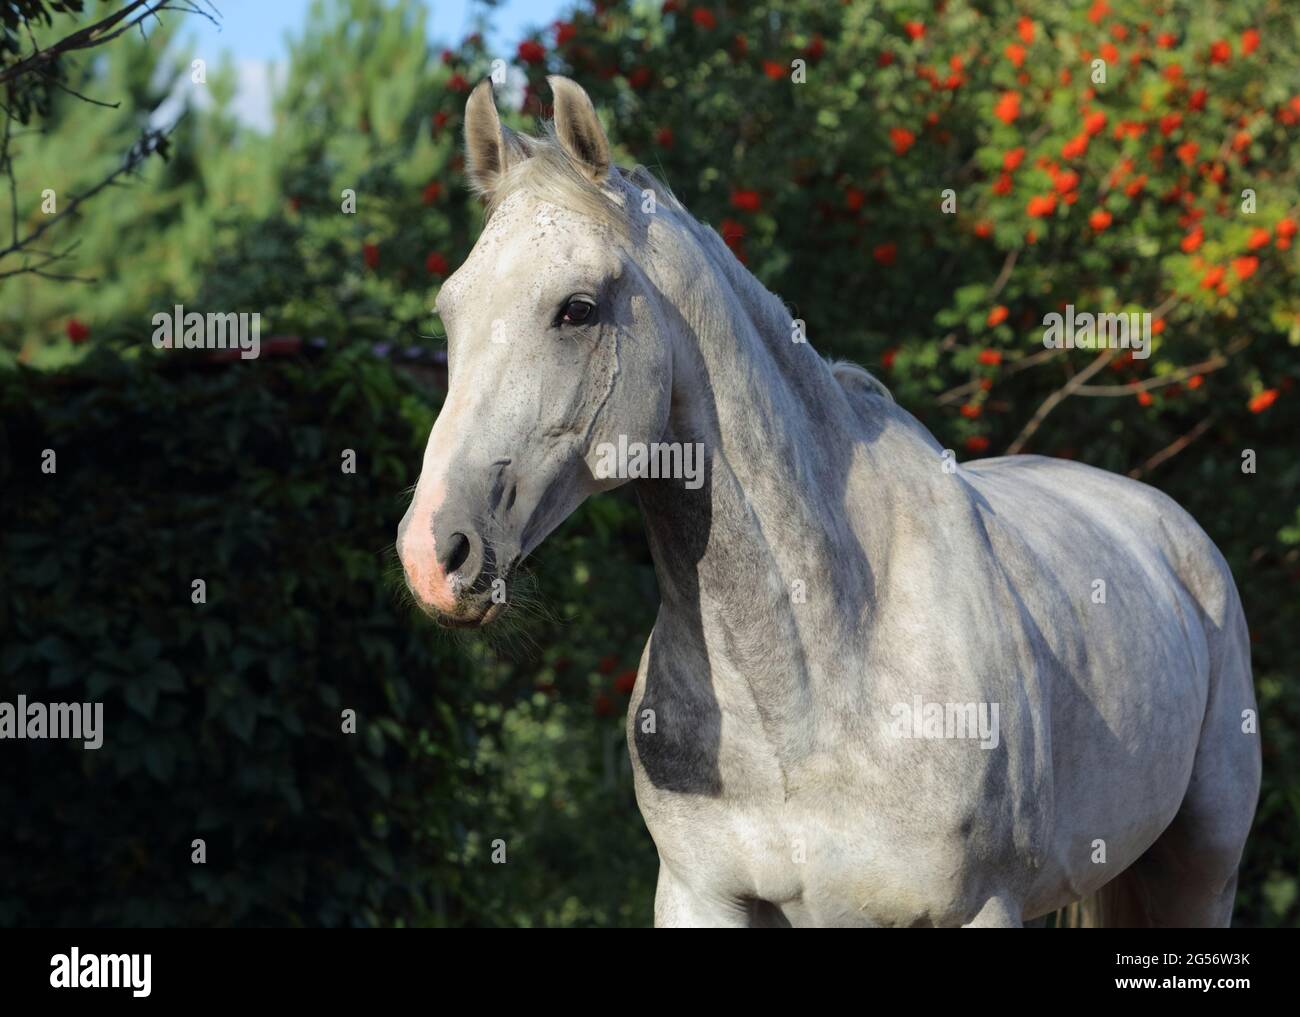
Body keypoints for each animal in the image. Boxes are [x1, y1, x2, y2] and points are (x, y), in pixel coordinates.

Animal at [397, 77, 1261, 927]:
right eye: (449, 311)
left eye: (577, 308)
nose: (434, 554)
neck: (815, 688)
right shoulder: (699, 895)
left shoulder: (980, 907)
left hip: (1201, 866)